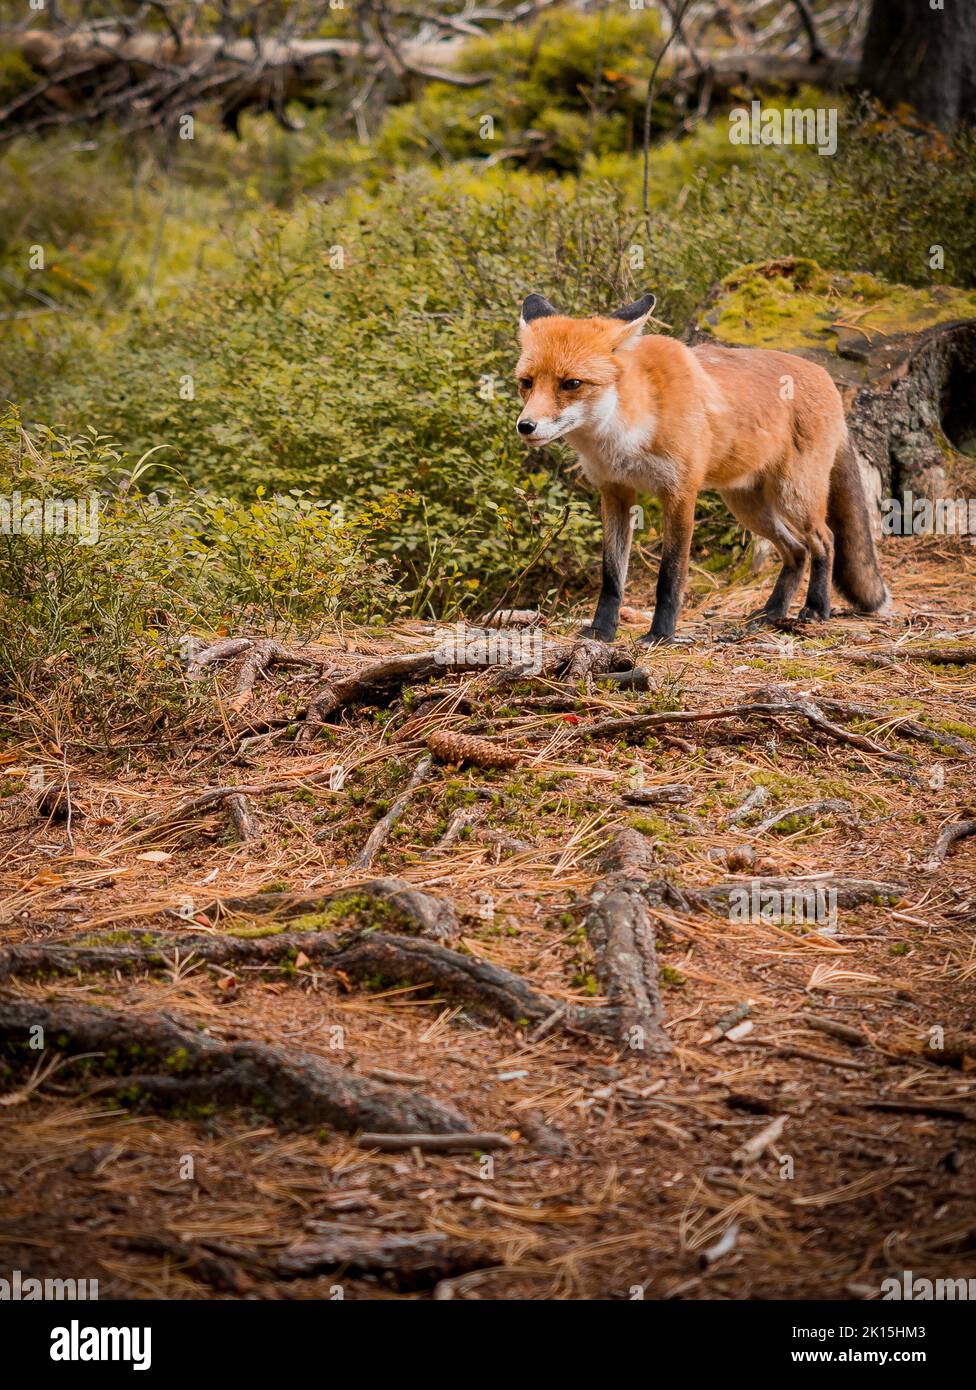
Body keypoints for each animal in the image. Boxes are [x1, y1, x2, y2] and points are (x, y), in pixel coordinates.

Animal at [514, 291, 889, 644]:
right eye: (526, 382)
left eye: (571, 383)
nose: (525, 426)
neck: (626, 431)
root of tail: (825, 376)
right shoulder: (615, 492)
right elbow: (611, 578)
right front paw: (602, 631)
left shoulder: (680, 492)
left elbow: (670, 576)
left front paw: (660, 636)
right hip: (747, 507)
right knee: (796, 551)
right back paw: (771, 612)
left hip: (794, 496)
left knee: (825, 540)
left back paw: (816, 608)